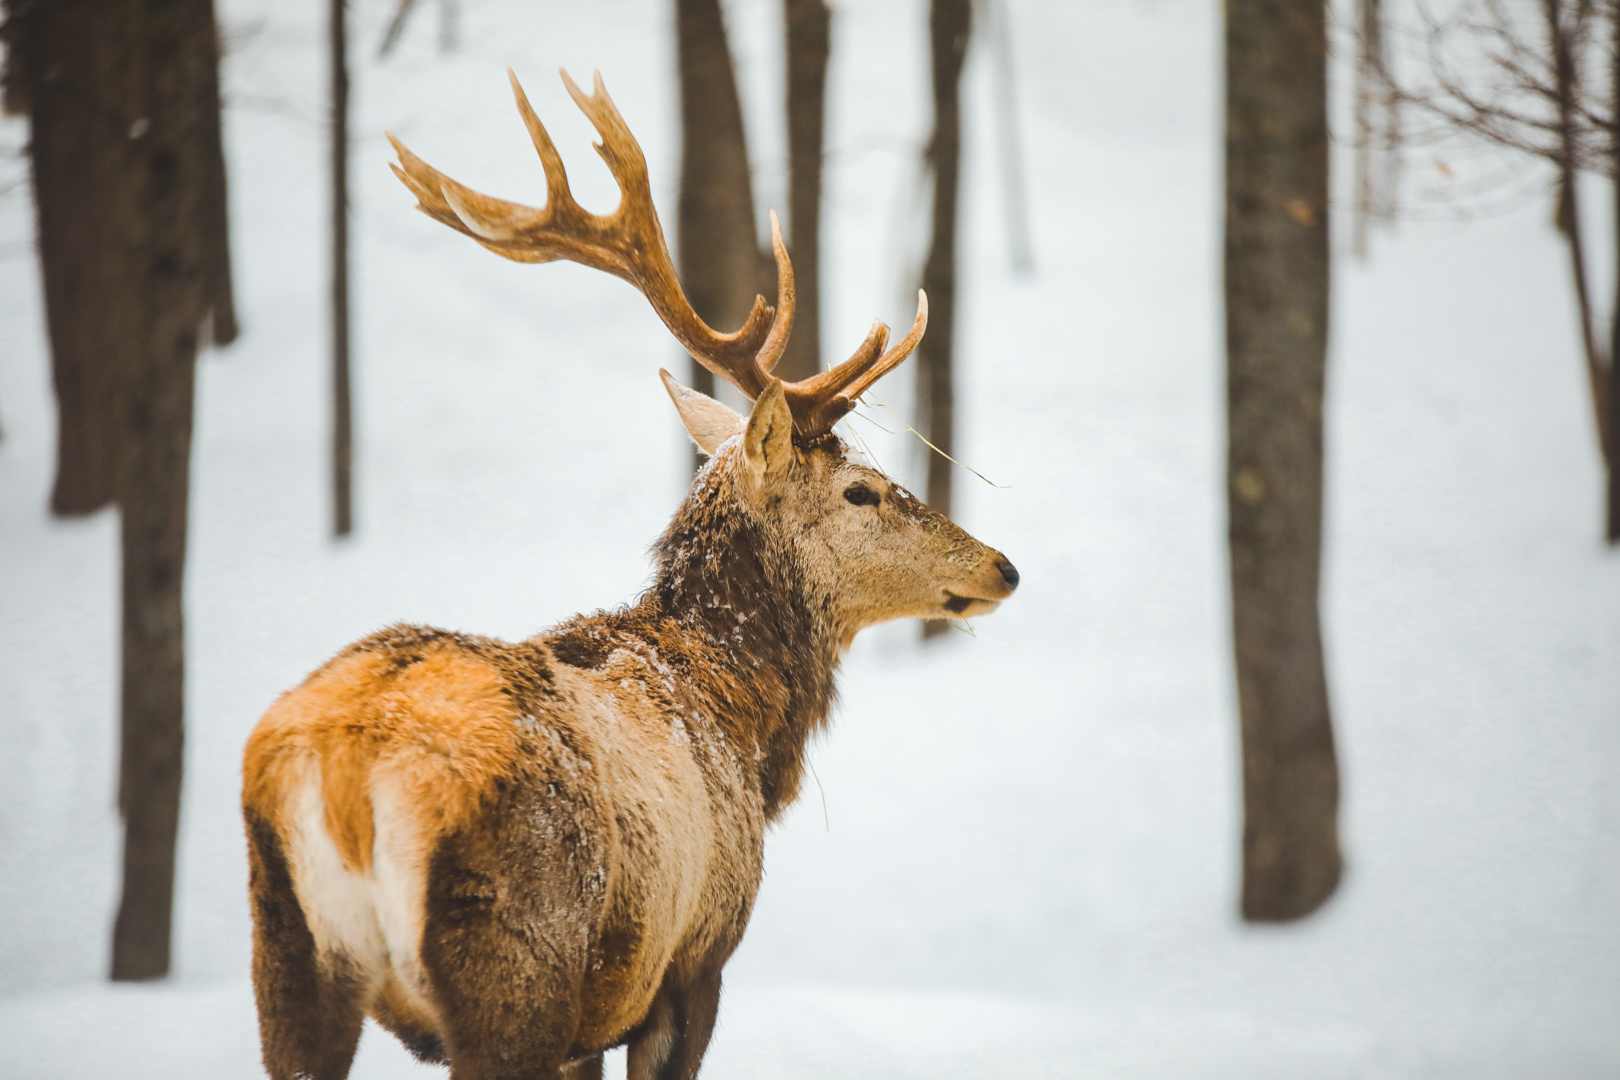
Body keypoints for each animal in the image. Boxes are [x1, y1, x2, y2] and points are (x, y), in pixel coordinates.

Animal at [241, 69, 1018, 1080]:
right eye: (862, 490)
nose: (1002, 565)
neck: (742, 730)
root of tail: (343, 768)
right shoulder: (692, 963)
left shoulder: (591, 1022)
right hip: (512, 962)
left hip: (284, 954)